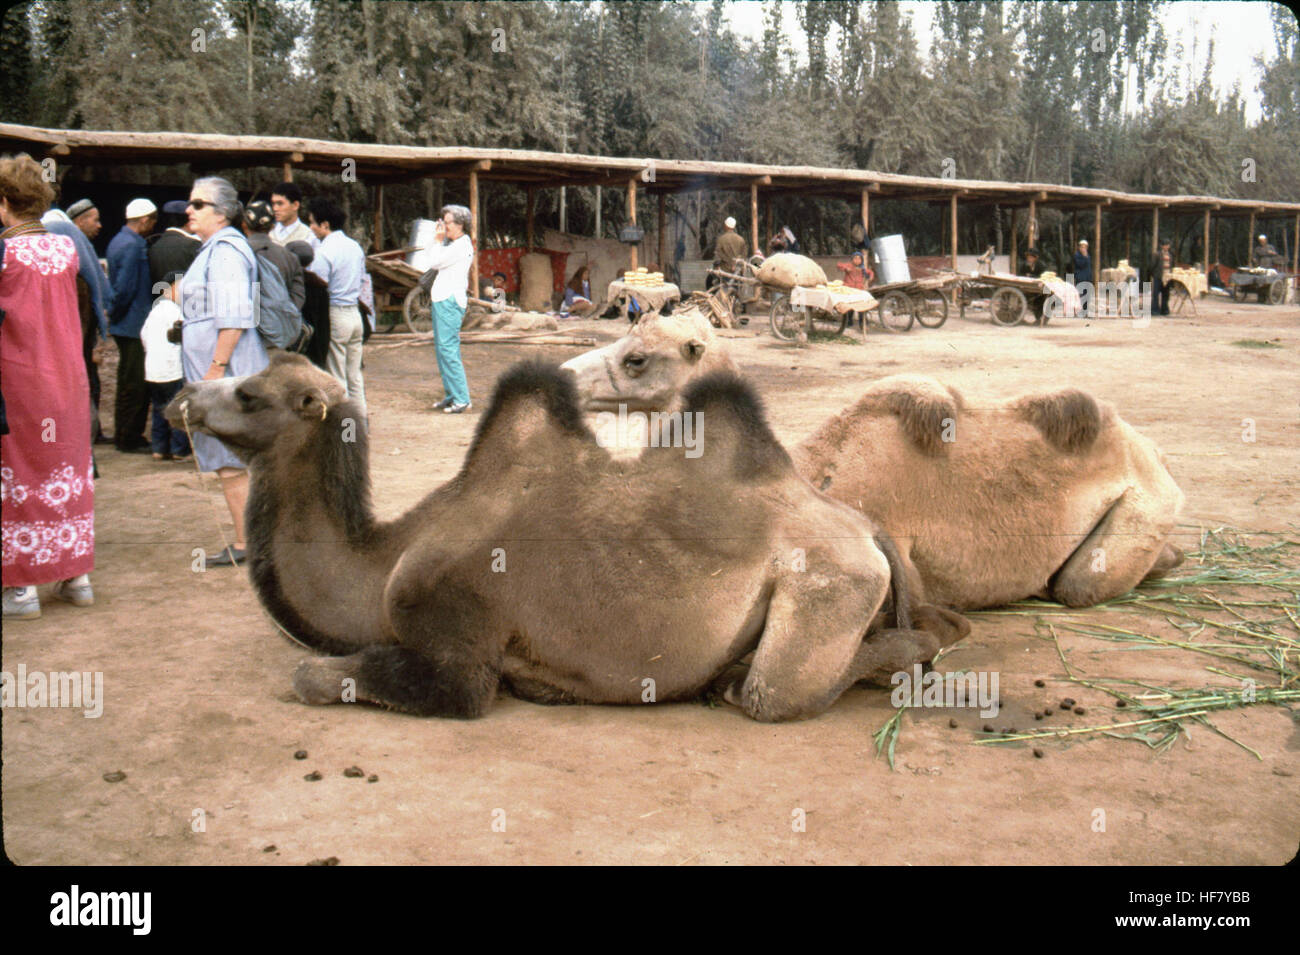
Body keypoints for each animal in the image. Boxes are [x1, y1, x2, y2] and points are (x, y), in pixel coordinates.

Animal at [165, 352, 968, 721]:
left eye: (250, 394)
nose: (183, 397)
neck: (382, 564)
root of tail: (865, 528)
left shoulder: (458, 649)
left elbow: (310, 675)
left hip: (828, 579)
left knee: (776, 688)